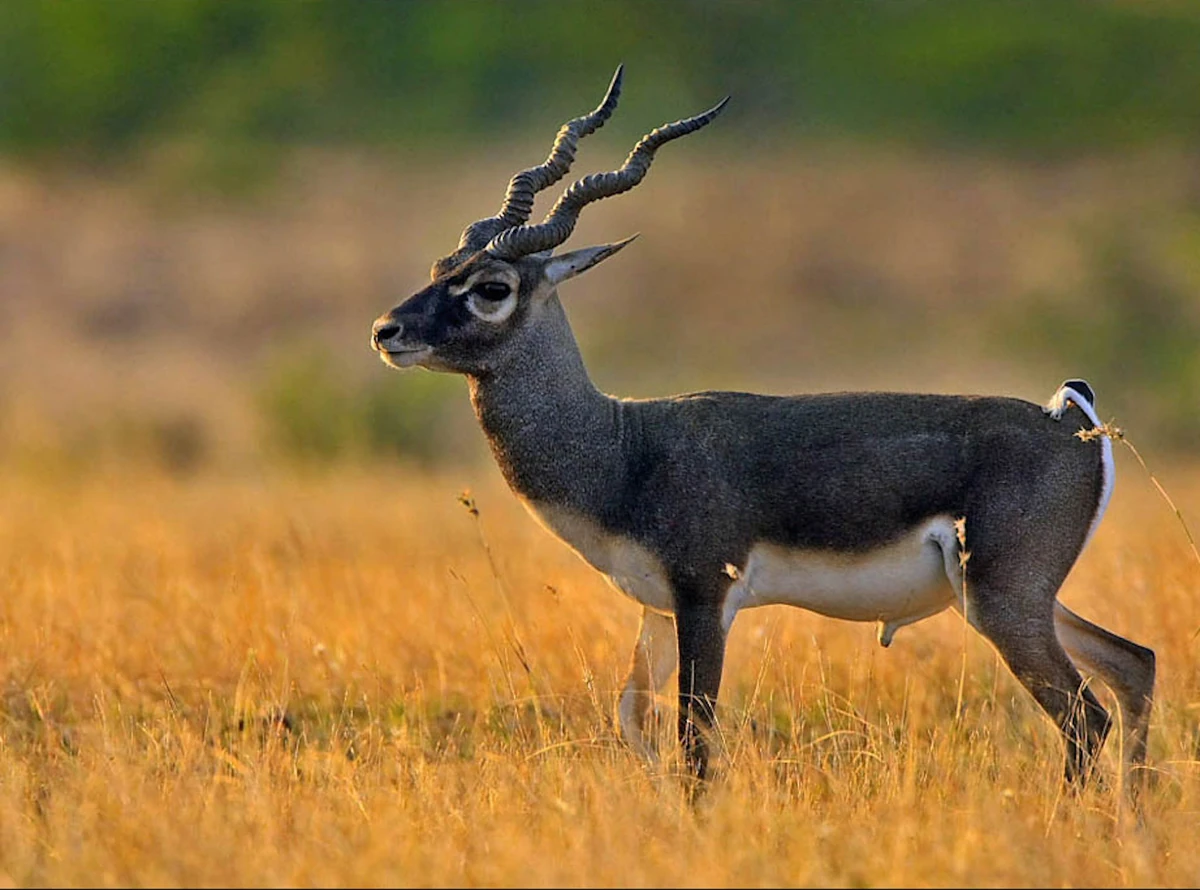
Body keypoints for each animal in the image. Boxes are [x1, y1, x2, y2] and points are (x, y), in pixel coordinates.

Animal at [370, 67, 1155, 791]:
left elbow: (693, 736)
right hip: (1021, 599)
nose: (387, 331)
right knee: (1133, 665)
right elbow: (632, 718)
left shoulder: (704, 597)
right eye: (441, 267)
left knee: (1085, 716)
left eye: (492, 287)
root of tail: (1071, 419)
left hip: (1003, 600)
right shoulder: (655, 609)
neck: (624, 448)